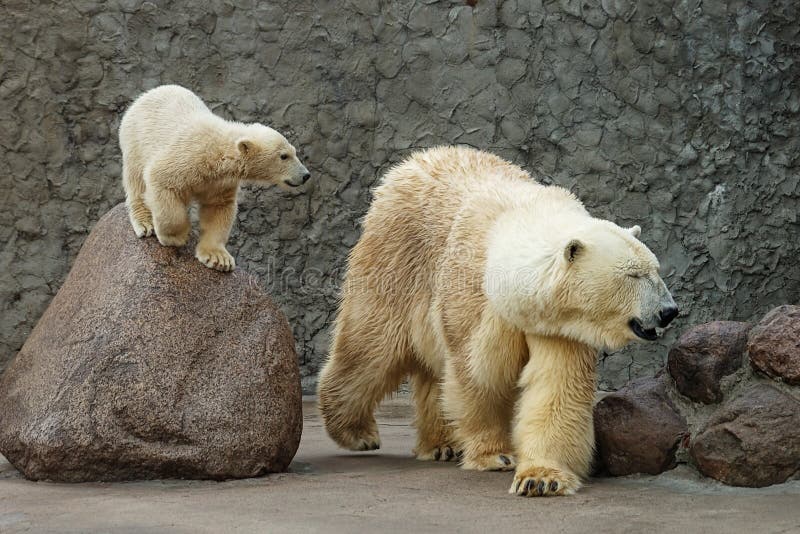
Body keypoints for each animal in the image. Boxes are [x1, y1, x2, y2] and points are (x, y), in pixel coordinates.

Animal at [119, 84, 310, 271]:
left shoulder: (219, 182)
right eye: (284, 156)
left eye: (294, 152)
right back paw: (145, 222)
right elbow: (161, 180)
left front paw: (219, 259)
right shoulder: (186, 158)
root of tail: (145, 95)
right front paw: (175, 236)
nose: (306, 175)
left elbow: (218, 209)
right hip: (136, 139)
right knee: (136, 180)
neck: (219, 153)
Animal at [317, 146, 678, 497]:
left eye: (656, 269)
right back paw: (357, 432)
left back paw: (439, 444)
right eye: (633, 275)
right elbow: (480, 375)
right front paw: (496, 455)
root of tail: (407, 165)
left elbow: (557, 387)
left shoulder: (557, 324)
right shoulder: (475, 296)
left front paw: (541, 479)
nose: (669, 310)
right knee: (373, 346)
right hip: (394, 260)